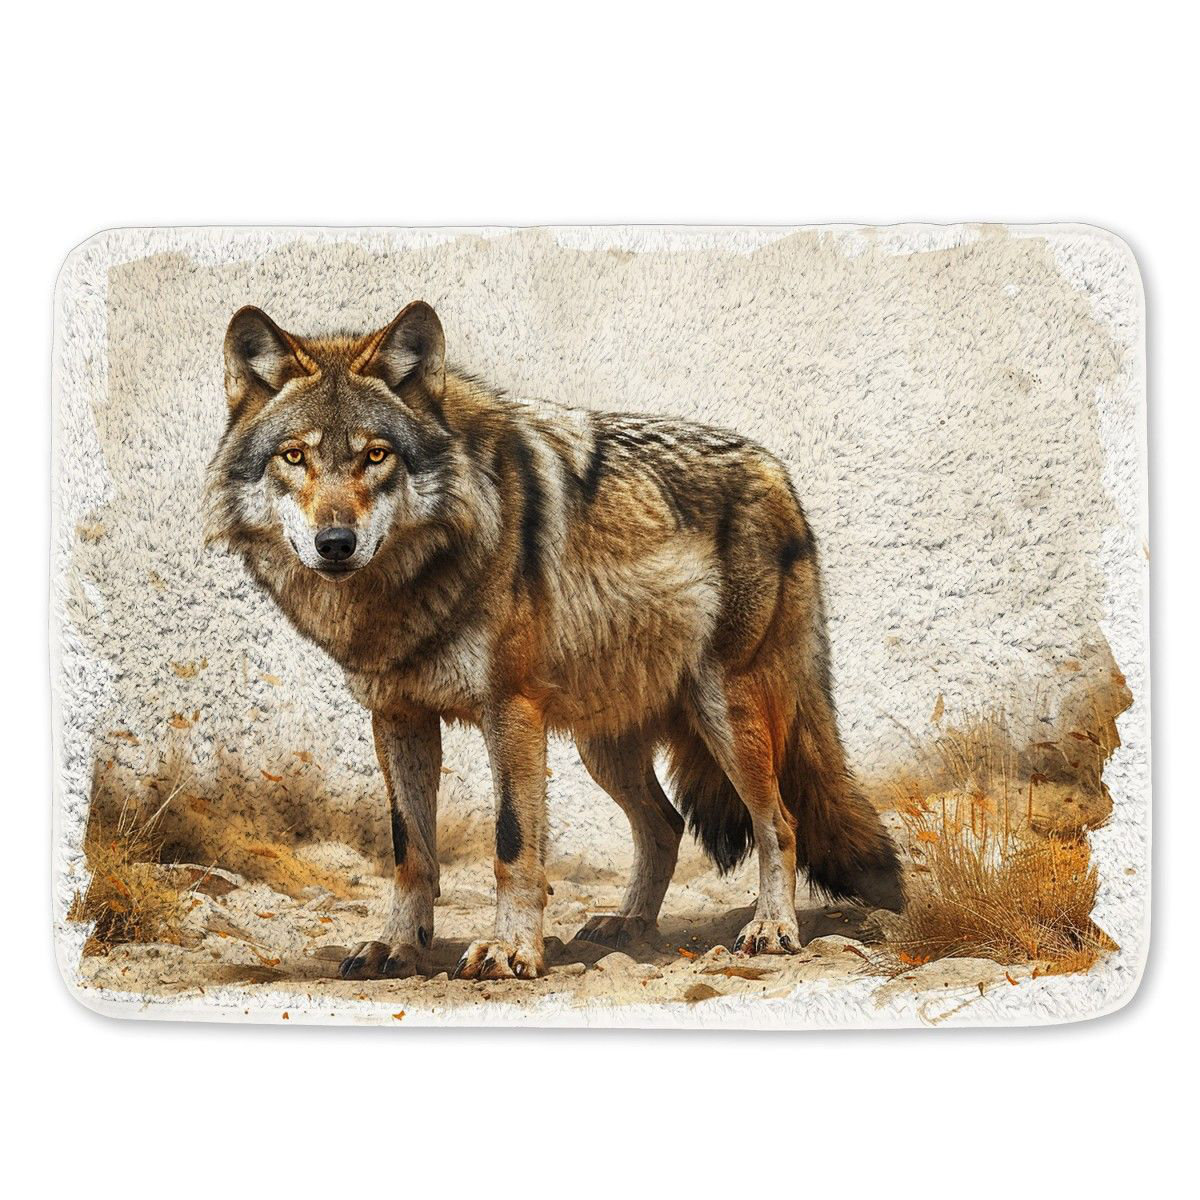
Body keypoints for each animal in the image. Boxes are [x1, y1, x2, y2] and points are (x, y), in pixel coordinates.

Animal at [206, 301, 903, 981]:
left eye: (376, 455)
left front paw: (511, 950)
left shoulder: (511, 710)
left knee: (778, 822)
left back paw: (771, 929)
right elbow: (412, 853)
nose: (335, 544)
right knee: (665, 825)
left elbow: (513, 843)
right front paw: (397, 947)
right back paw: (628, 926)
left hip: (725, 713)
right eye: (294, 457)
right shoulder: (398, 716)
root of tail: (779, 475)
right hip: (604, 745)